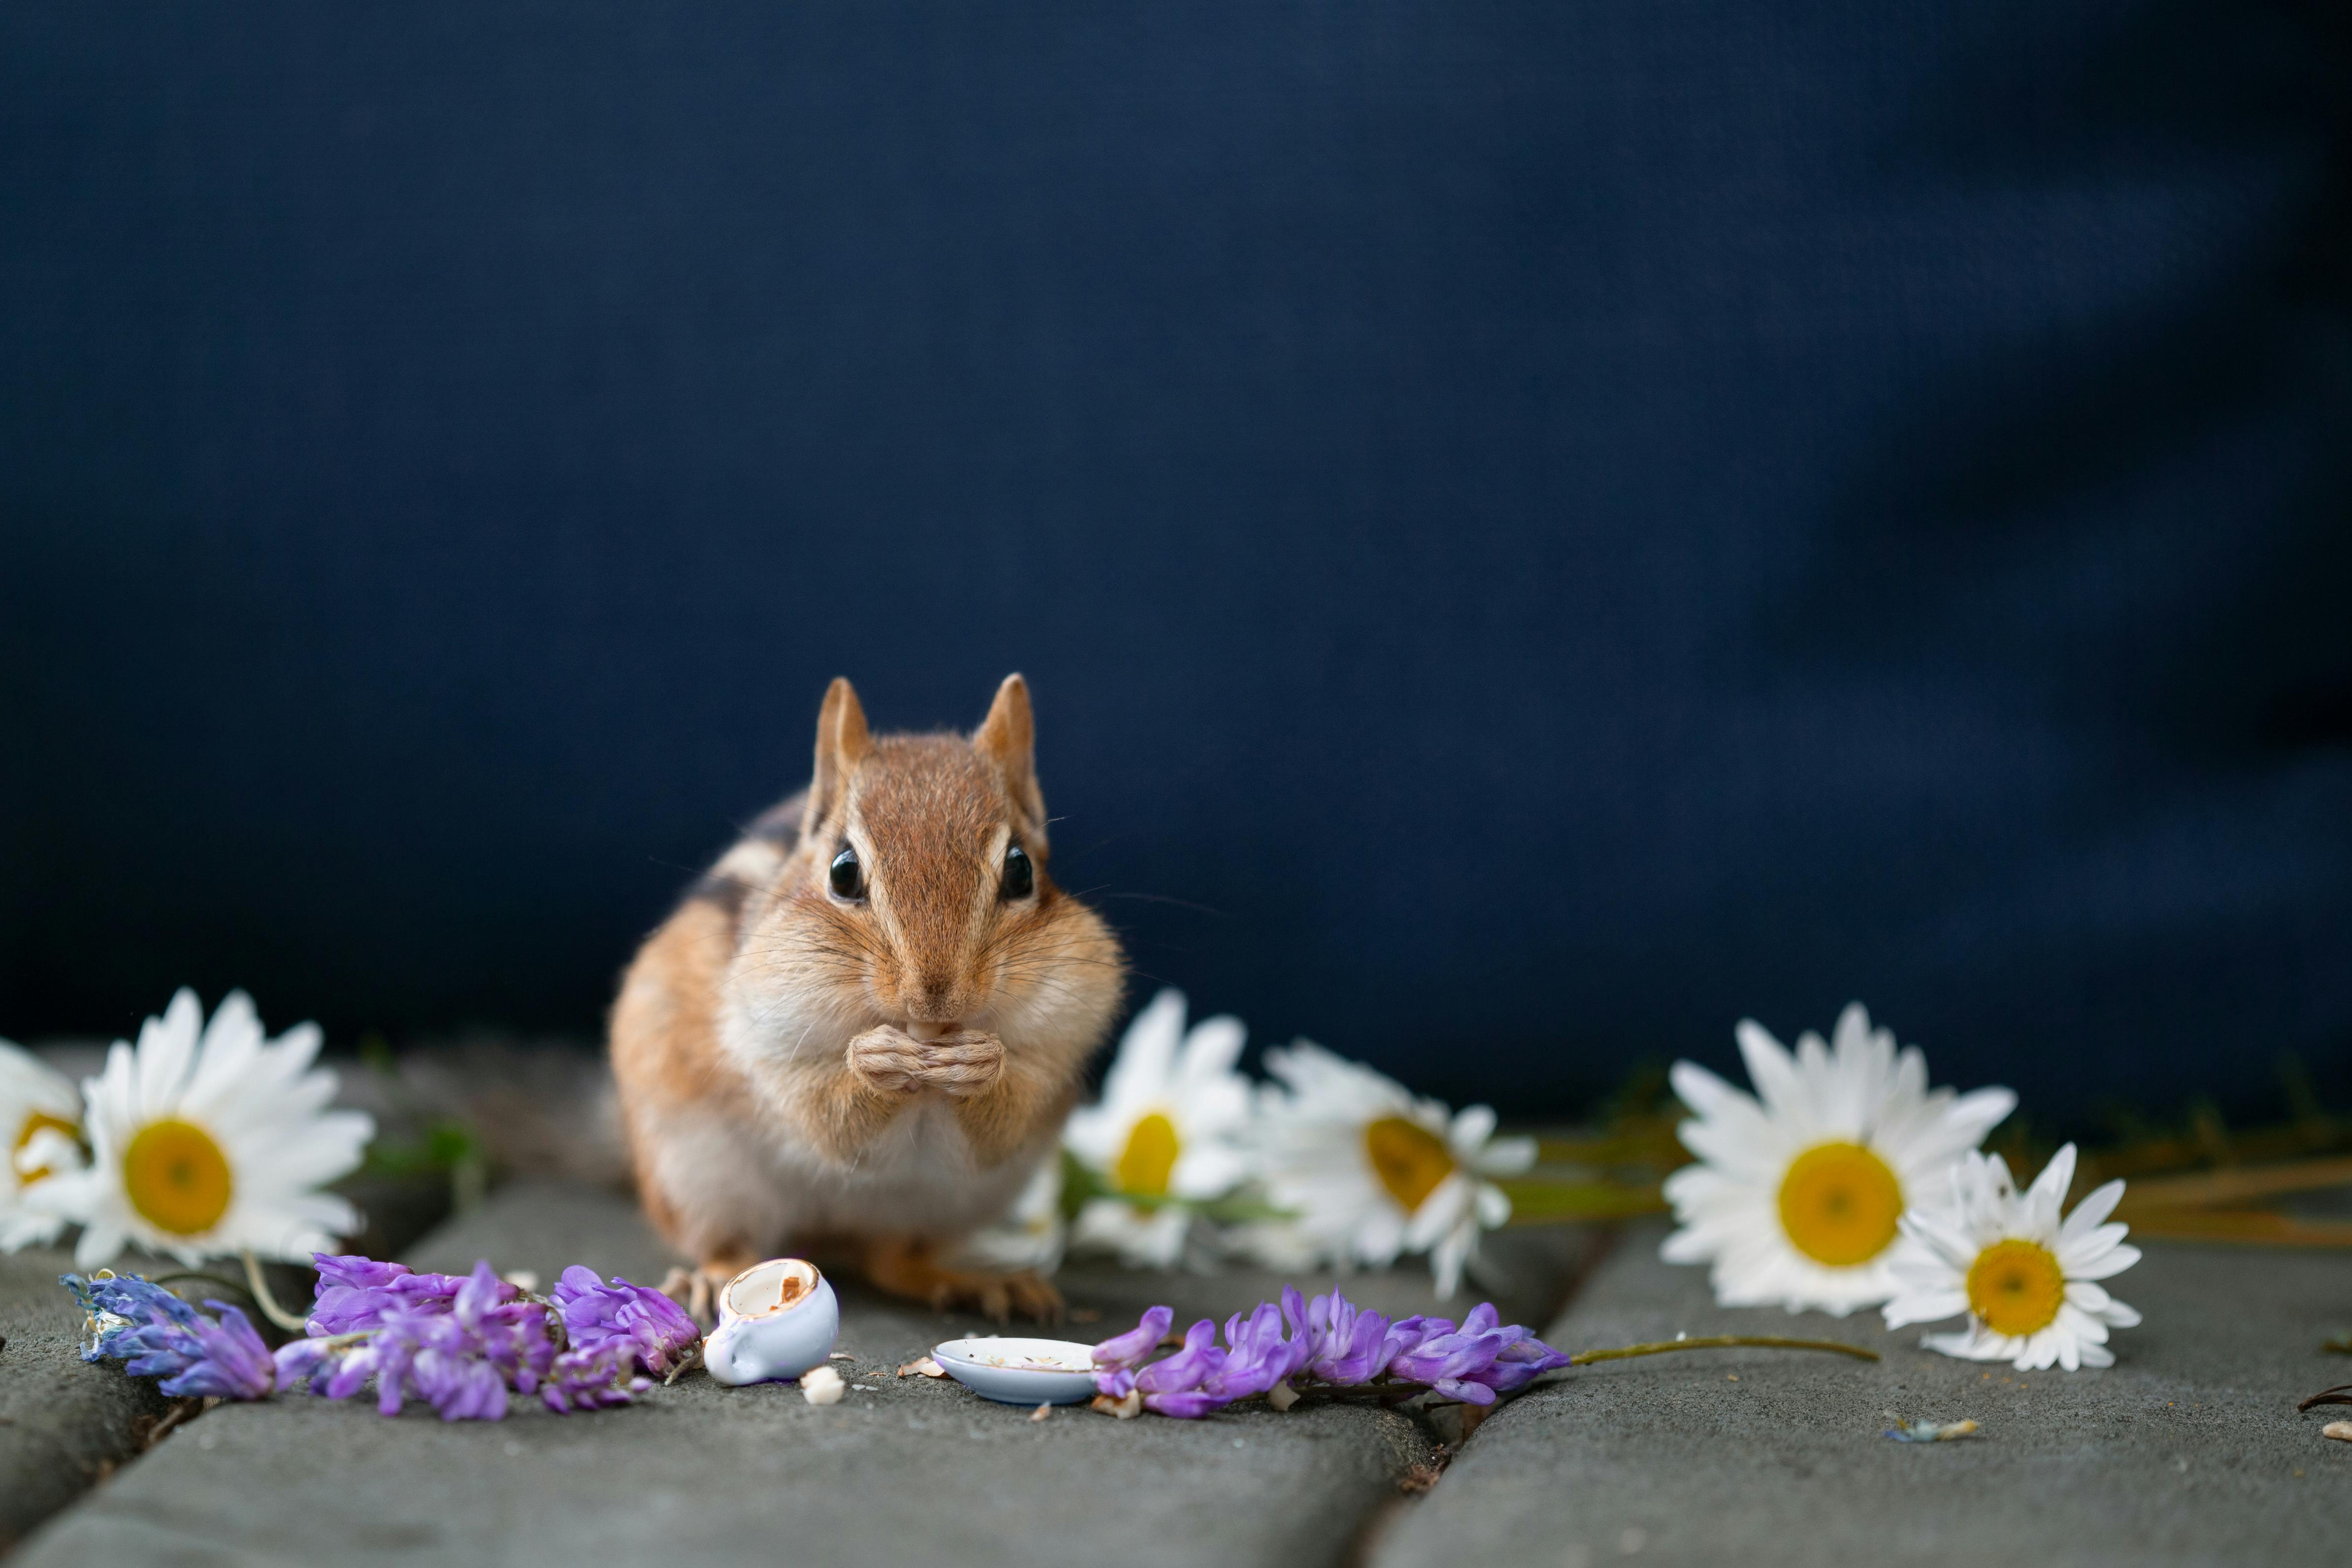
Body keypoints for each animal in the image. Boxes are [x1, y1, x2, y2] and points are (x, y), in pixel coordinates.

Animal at [609, 675, 1125, 1321]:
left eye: (1021, 869)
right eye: (843, 870)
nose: (934, 999)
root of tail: (830, 1238)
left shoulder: (1063, 1042)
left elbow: (1012, 1109)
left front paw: (982, 1062)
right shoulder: (763, 1044)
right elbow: (822, 1111)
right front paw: (875, 1059)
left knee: (892, 1262)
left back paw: (981, 1280)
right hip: (695, 1175)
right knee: (731, 1243)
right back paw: (714, 1277)